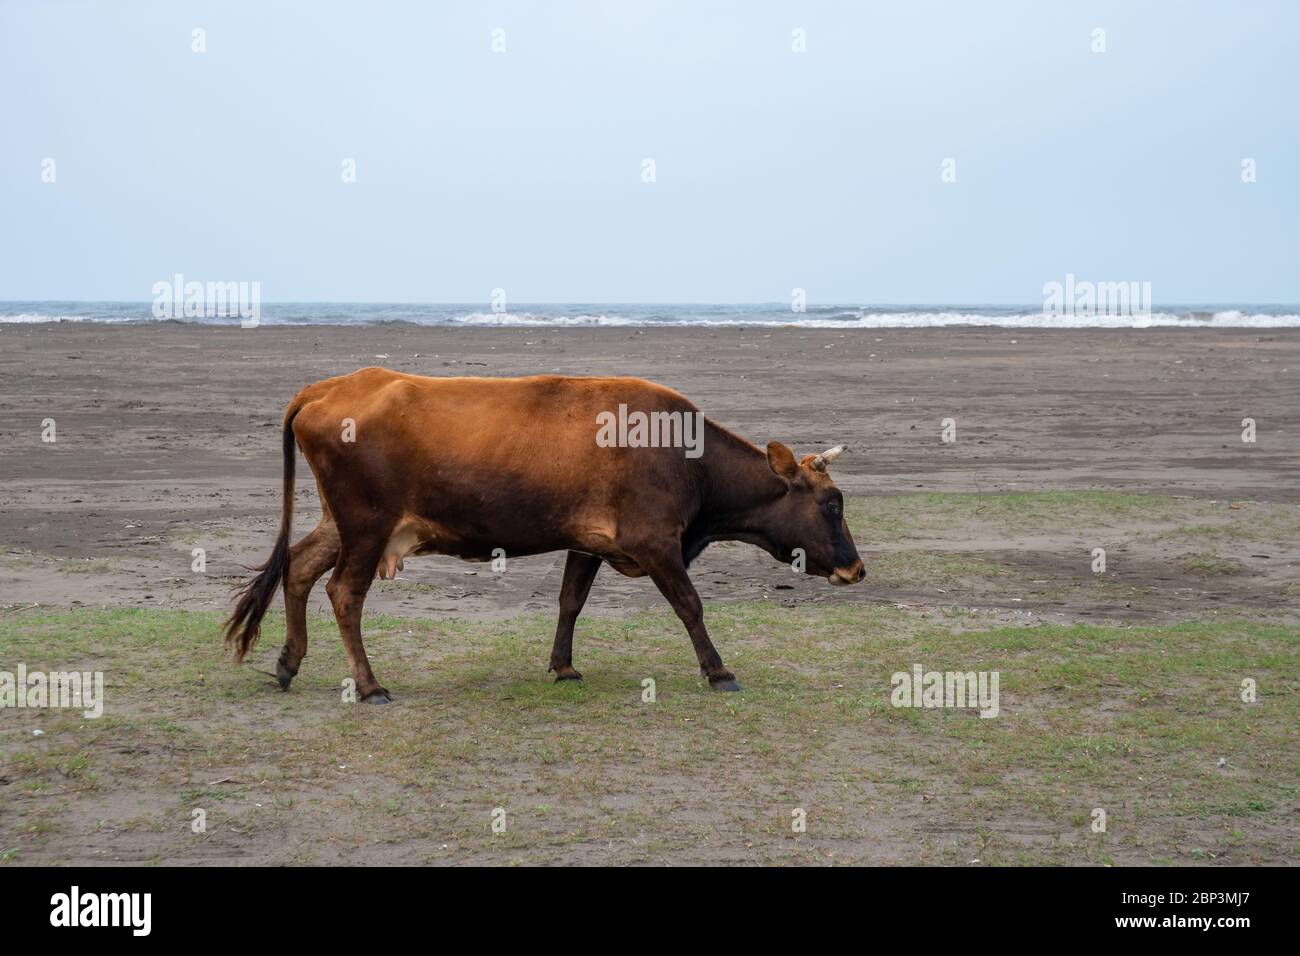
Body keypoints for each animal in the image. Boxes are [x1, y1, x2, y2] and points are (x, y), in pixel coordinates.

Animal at [224, 368, 864, 702]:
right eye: (832, 503)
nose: (857, 569)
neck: (686, 456)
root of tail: (332, 387)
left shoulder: (588, 542)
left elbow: (569, 602)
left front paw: (563, 666)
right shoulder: (656, 542)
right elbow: (690, 604)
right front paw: (718, 670)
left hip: (342, 523)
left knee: (300, 568)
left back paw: (288, 663)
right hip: (366, 525)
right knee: (343, 593)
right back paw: (369, 683)